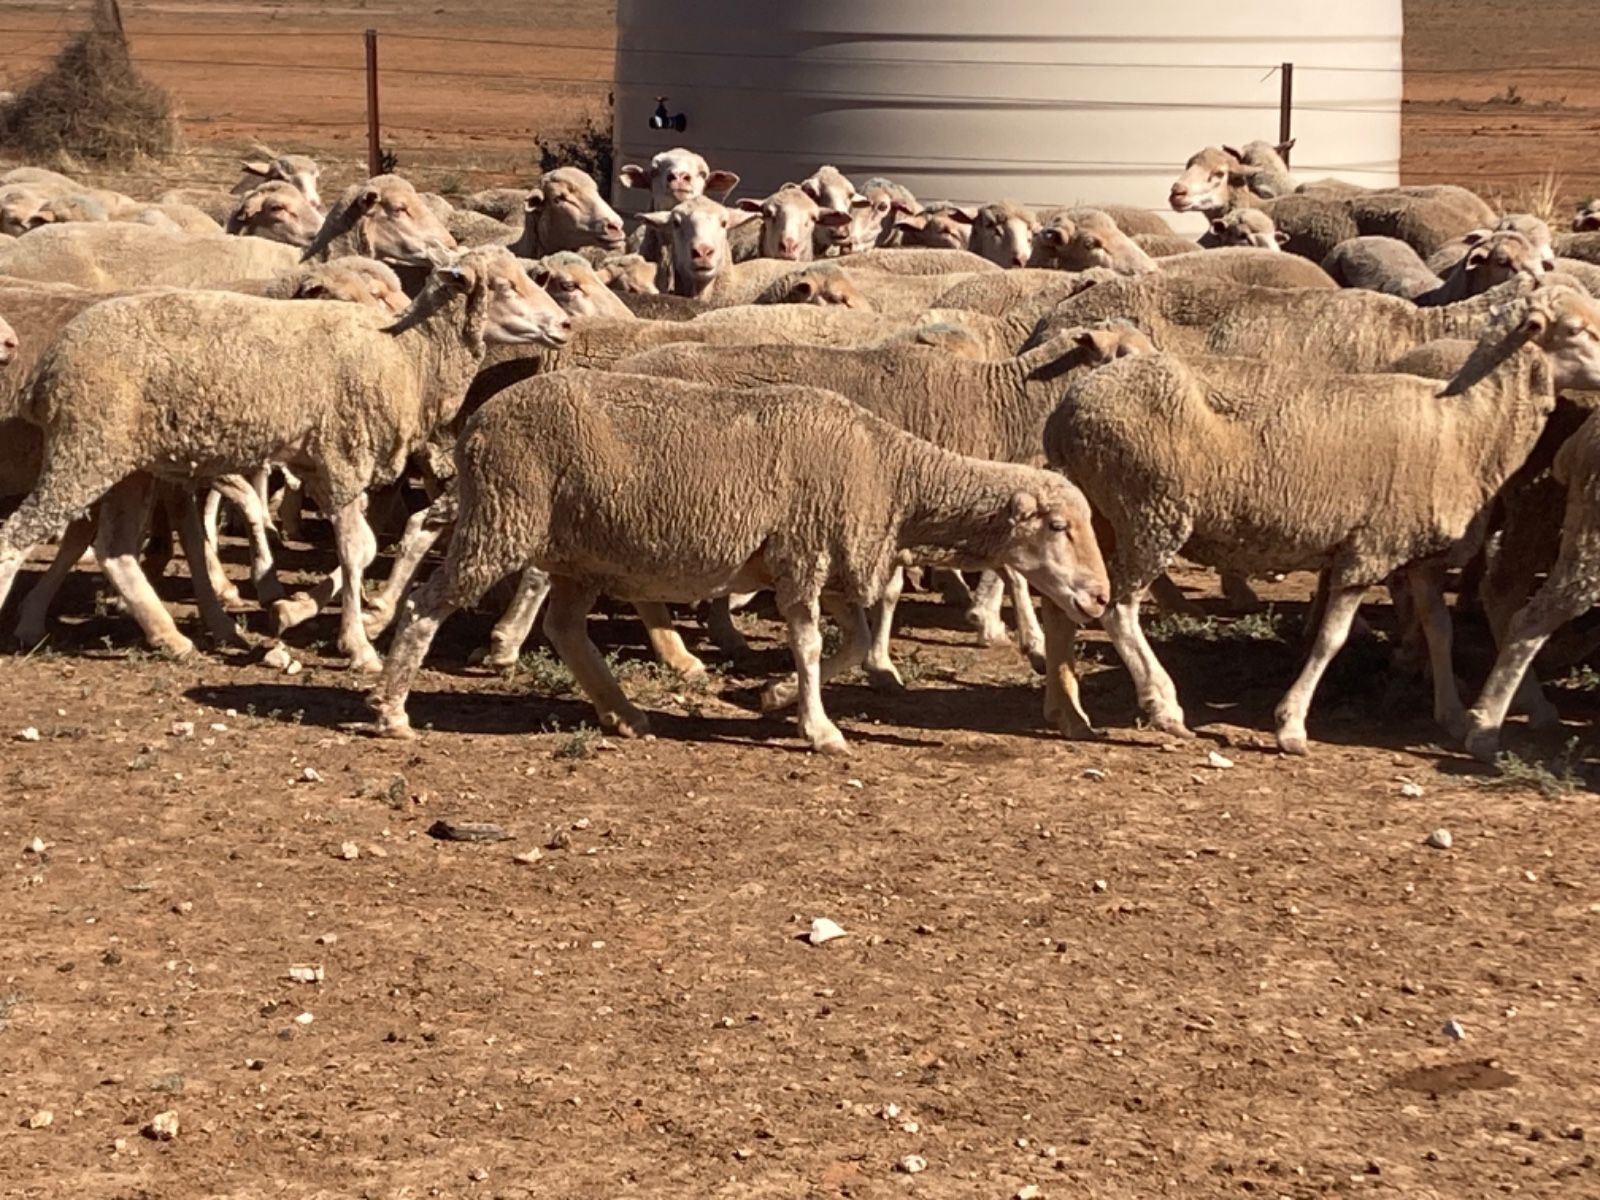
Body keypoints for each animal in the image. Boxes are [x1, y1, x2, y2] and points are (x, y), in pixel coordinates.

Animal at [0, 247, 573, 667]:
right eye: (505, 286)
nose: (566, 325)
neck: (407, 355)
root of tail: (52, 362)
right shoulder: (341, 459)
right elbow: (354, 548)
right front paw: (357, 644)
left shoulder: (320, 464)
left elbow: (365, 547)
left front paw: (299, 610)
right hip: (86, 449)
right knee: (19, 536)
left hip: (126, 465)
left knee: (115, 550)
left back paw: (172, 639)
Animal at [367, 370, 1109, 752]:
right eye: (1058, 526)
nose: (1100, 597)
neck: (894, 472)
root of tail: (478, 421)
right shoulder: (804, 556)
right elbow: (811, 645)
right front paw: (819, 729)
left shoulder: (822, 566)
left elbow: (853, 644)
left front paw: (774, 697)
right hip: (504, 518)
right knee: (426, 605)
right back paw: (392, 707)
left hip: (579, 549)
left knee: (566, 628)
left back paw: (623, 714)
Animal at [1039, 287, 1600, 751]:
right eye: (1576, 328)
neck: (1466, 424)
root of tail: (1065, 412)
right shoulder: (1367, 549)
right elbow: (1333, 639)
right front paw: (1290, 726)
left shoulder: (1417, 554)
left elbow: (1439, 629)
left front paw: (1455, 716)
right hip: (1150, 511)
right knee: (1119, 609)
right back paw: (1163, 706)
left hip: (1103, 513)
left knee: (1067, 604)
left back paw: (1067, 711)